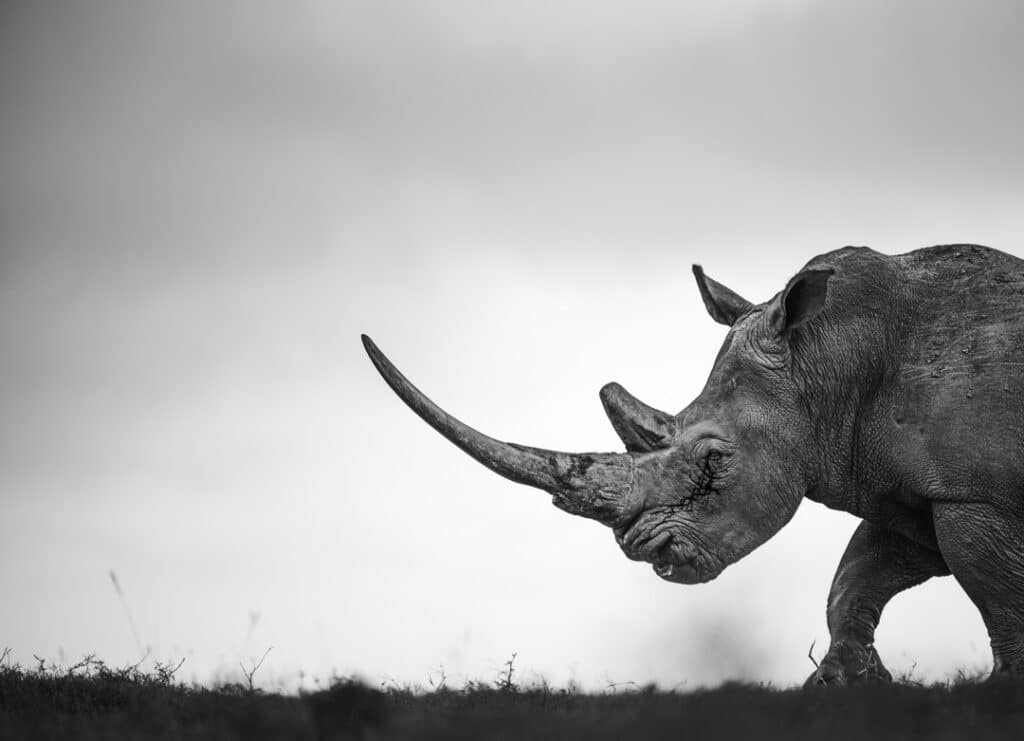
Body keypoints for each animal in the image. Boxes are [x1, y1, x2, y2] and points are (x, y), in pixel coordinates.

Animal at [362, 243, 1024, 685]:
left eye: (713, 459)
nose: (645, 550)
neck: (827, 361)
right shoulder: (924, 485)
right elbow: (856, 577)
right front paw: (846, 682)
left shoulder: (975, 495)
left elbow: (999, 598)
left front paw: (1002, 692)